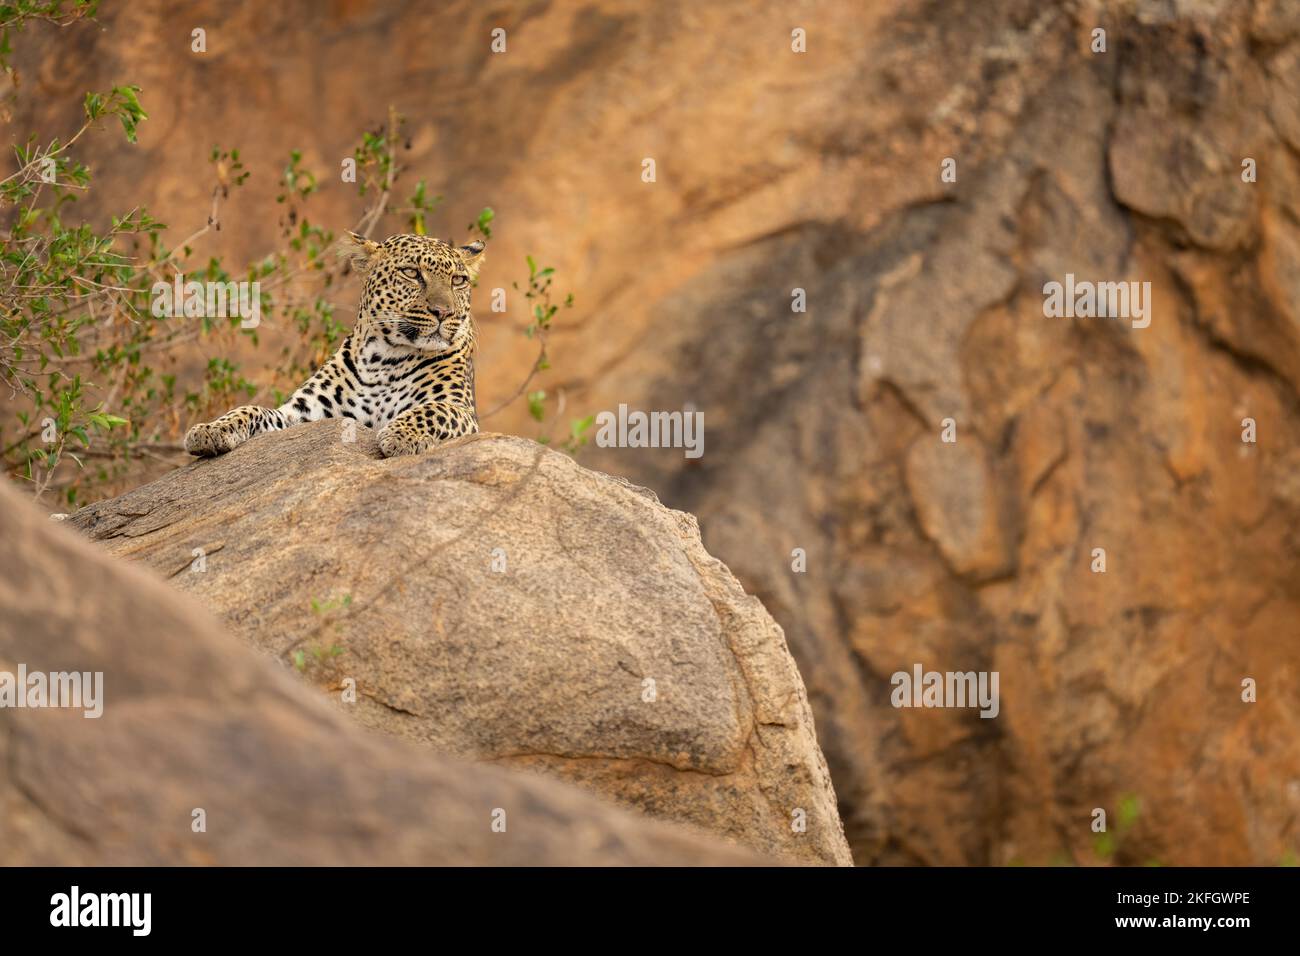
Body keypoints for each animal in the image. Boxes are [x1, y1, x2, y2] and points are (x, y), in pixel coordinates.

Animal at [184, 231, 485, 460]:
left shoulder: (463, 412)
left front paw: (400, 435)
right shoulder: (303, 416)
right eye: (411, 273)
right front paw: (210, 430)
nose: (444, 312)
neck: (384, 360)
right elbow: (251, 409)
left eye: (458, 280)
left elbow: (434, 410)